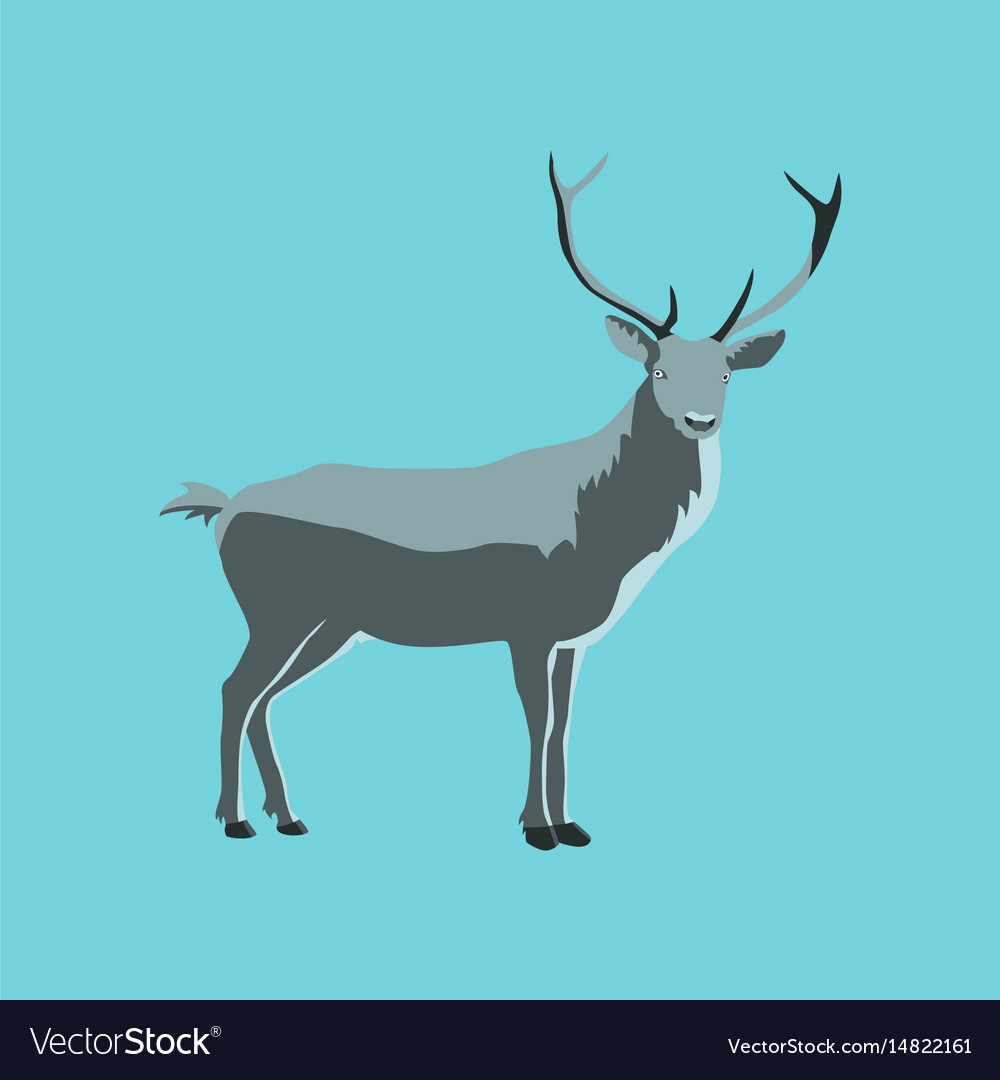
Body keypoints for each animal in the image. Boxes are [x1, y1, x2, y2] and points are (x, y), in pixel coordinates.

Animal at [162, 154, 841, 849]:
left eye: (726, 374)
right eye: (658, 371)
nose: (700, 421)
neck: (600, 530)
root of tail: (222, 510)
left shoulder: (572, 638)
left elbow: (564, 724)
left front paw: (572, 825)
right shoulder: (526, 625)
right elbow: (536, 722)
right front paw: (537, 829)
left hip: (331, 624)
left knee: (265, 698)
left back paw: (289, 816)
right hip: (277, 611)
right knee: (234, 689)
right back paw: (237, 820)